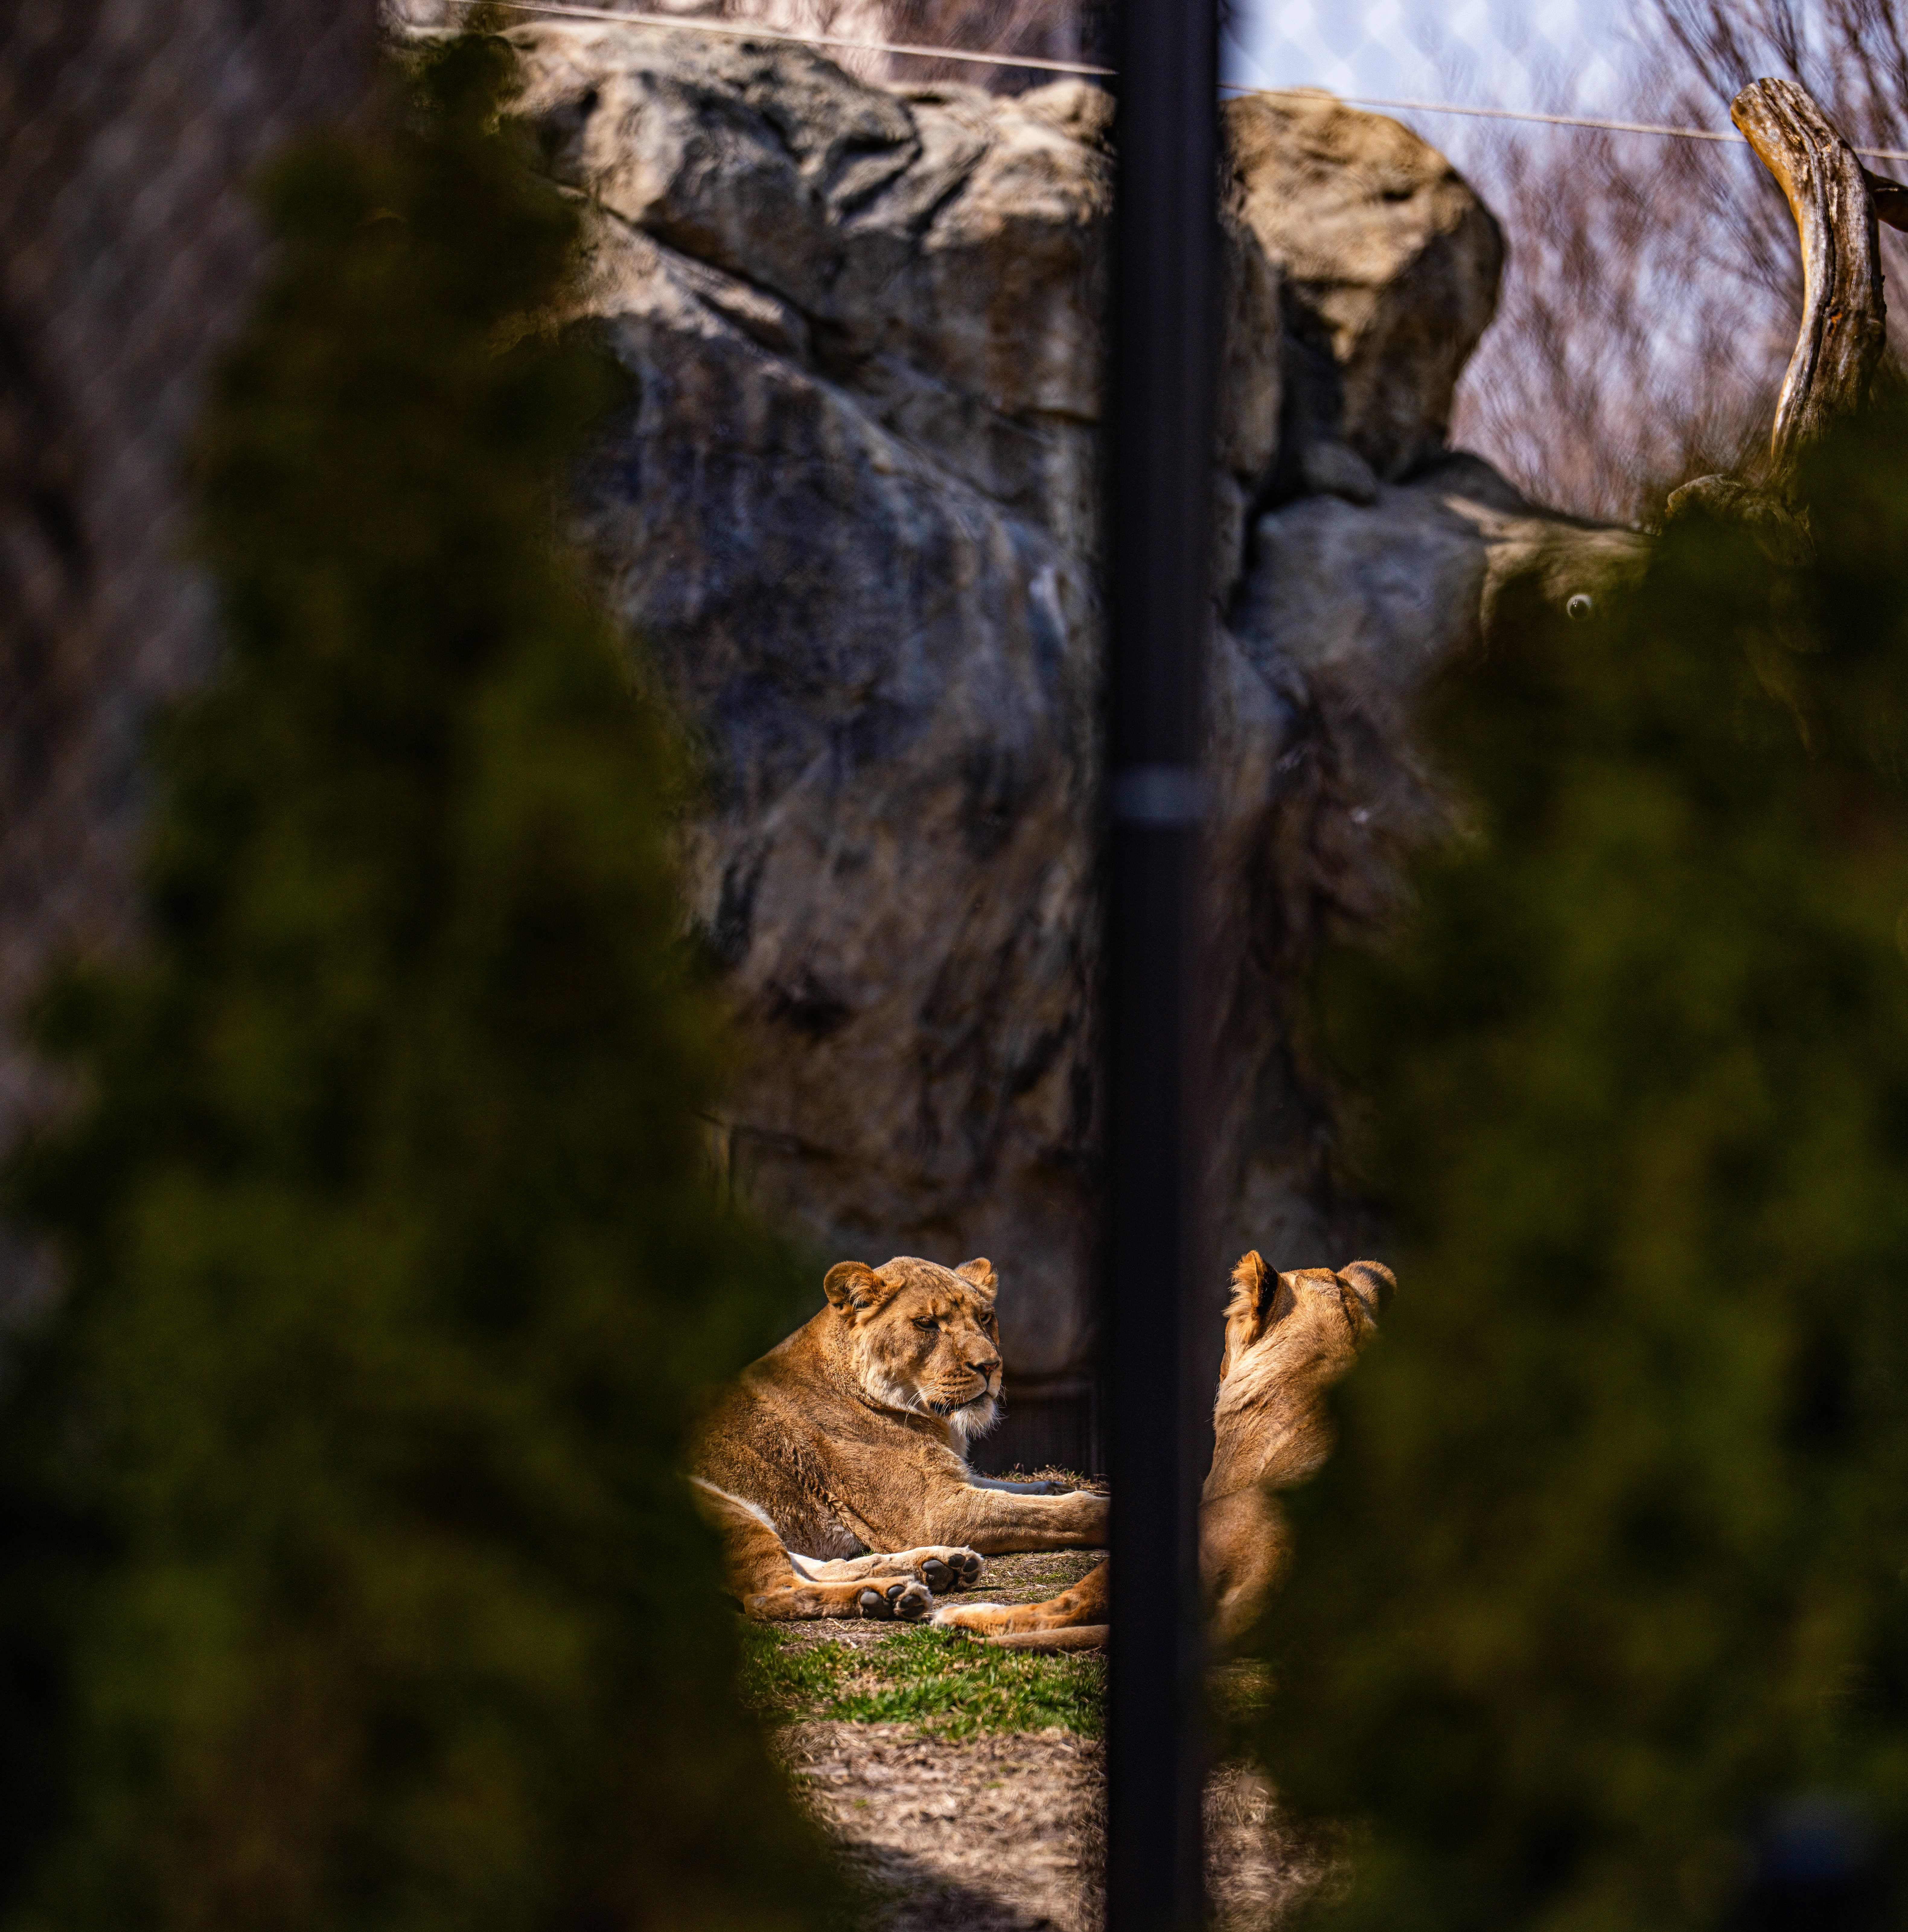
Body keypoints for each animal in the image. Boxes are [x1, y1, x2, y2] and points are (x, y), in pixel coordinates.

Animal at [693, 1254, 1109, 1621]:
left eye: (985, 1318)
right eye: (926, 1324)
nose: (991, 1366)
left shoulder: (951, 1479)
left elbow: (1013, 1490)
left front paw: (1053, 1487)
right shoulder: (932, 1512)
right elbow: (1058, 1511)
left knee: (813, 1567)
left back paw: (936, 1567)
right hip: (721, 1508)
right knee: (773, 1594)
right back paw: (884, 1596)